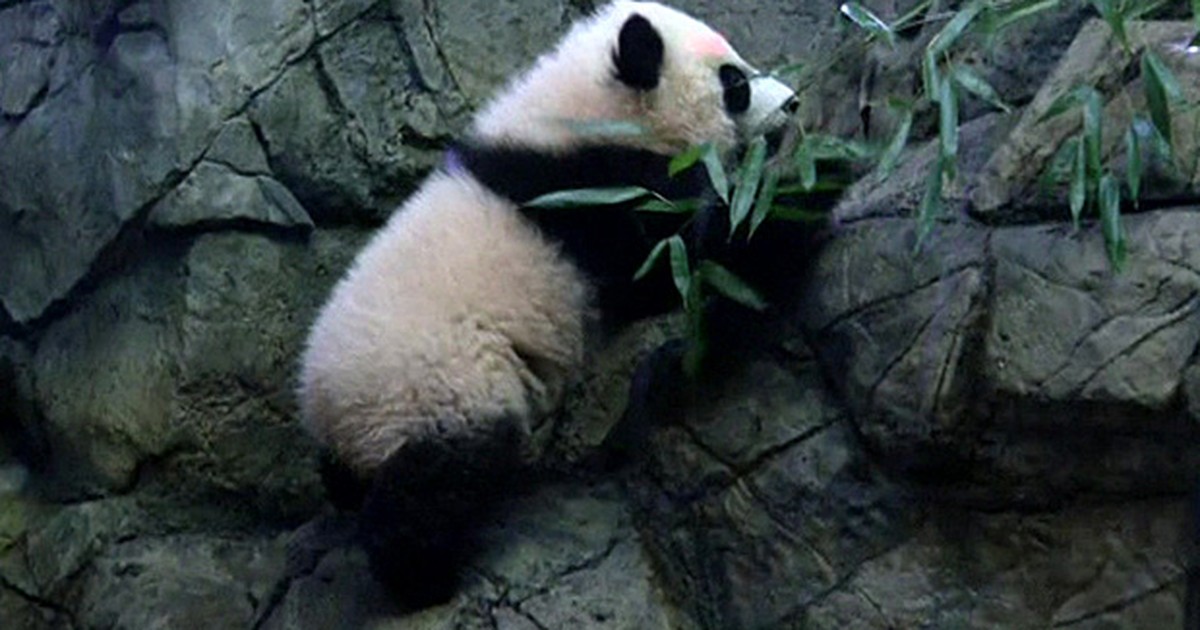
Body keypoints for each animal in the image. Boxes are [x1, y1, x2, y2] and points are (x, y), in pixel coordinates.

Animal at [299, 1, 799, 607]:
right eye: (734, 83)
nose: (793, 103)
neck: (583, 113)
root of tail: (325, 405)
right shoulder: (589, 195)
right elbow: (669, 259)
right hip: (436, 390)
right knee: (435, 484)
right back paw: (422, 579)